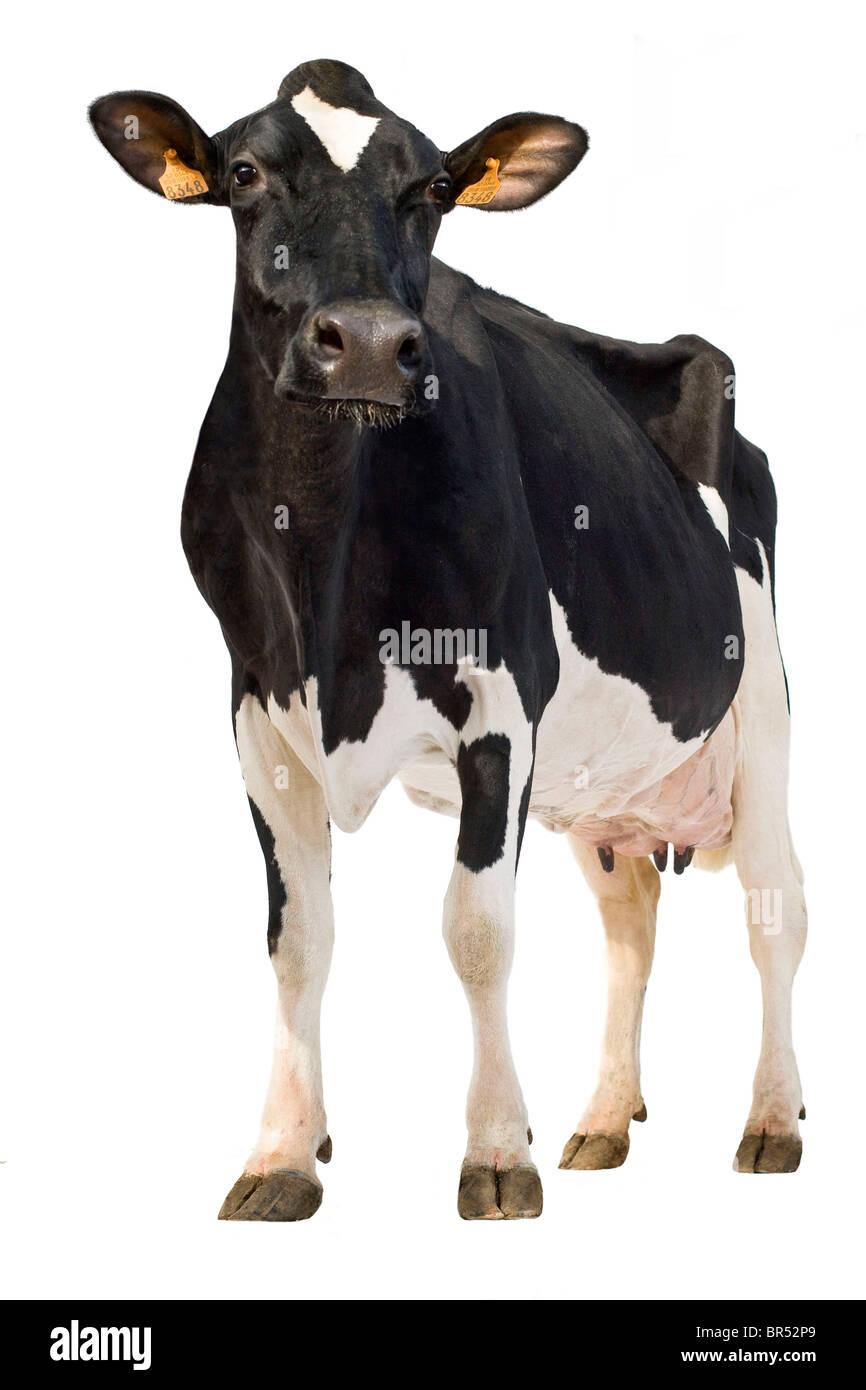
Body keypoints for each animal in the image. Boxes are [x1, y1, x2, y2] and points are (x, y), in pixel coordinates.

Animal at [88, 58, 807, 1221]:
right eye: (242, 173)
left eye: (429, 186)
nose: (370, 344)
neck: (325, 571)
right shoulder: (258, 711)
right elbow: (299, 941)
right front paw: (282, 1154)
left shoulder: (501, 699)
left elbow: (476, 929)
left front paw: (495, 1154)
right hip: (599, 779)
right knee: (630, 915)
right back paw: (603, 1119)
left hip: (762, 710)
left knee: (775, 909)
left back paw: (772, 1121)